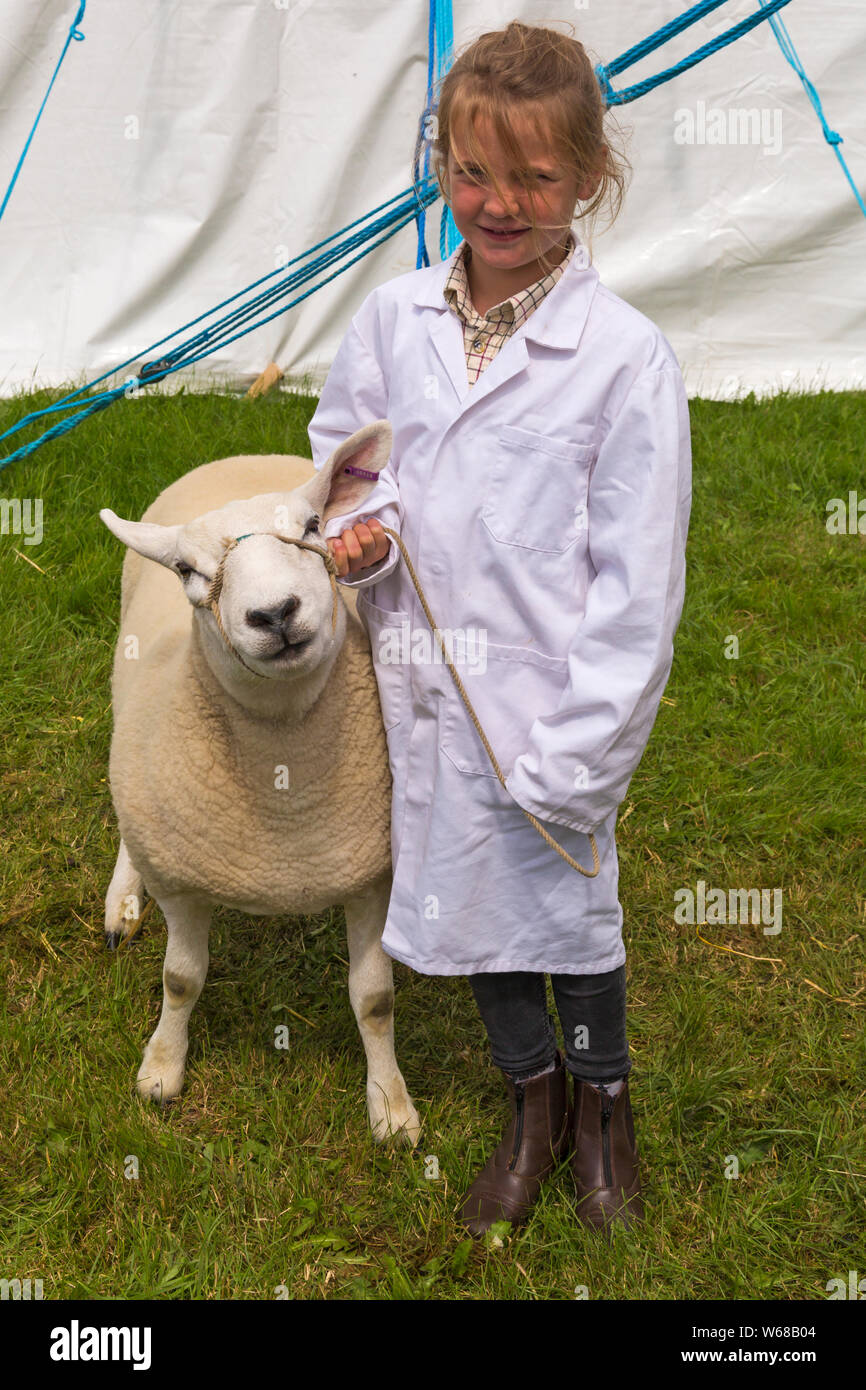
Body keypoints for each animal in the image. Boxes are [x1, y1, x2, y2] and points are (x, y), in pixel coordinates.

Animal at [99, 419, 420, 1146]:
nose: (275, 614)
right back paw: (121, 902)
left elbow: (374, 998)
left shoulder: (374, 877)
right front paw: (162, 1068)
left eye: (313, 527)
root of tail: (236, 457)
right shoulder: (181, 880)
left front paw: (391, 1106)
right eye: (188, 571)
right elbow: (181, 978)